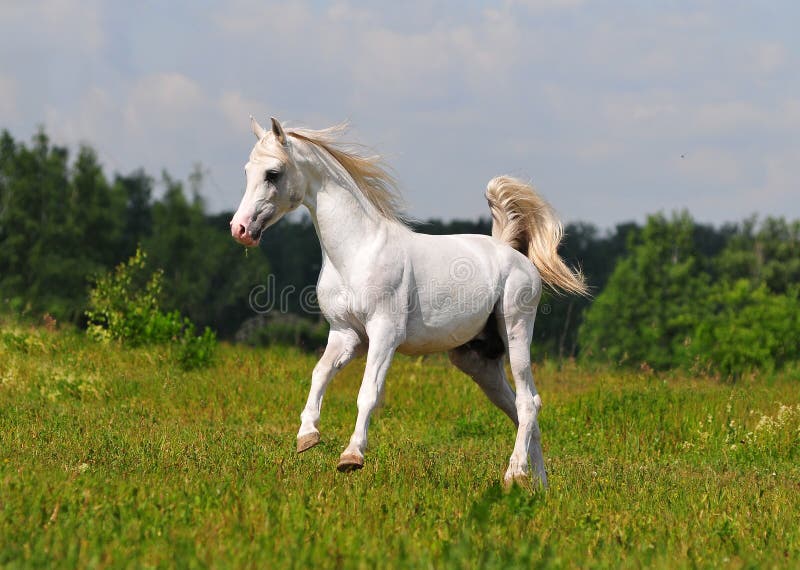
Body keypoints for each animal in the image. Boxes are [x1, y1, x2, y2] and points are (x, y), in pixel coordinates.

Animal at [230, 117, 587, 486]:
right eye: (247, 171)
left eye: (272, 173)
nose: (239, 229)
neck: (357, 252)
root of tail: (511, 254)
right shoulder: (346, 335)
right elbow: (319, 374)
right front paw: (307, 436)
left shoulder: (384, 334)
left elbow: (368, 393)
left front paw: (351, 456)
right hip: (477, 362)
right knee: (521, 411)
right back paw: (539, 485)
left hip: (515, 333)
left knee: (530, 403)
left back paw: (514, 474)